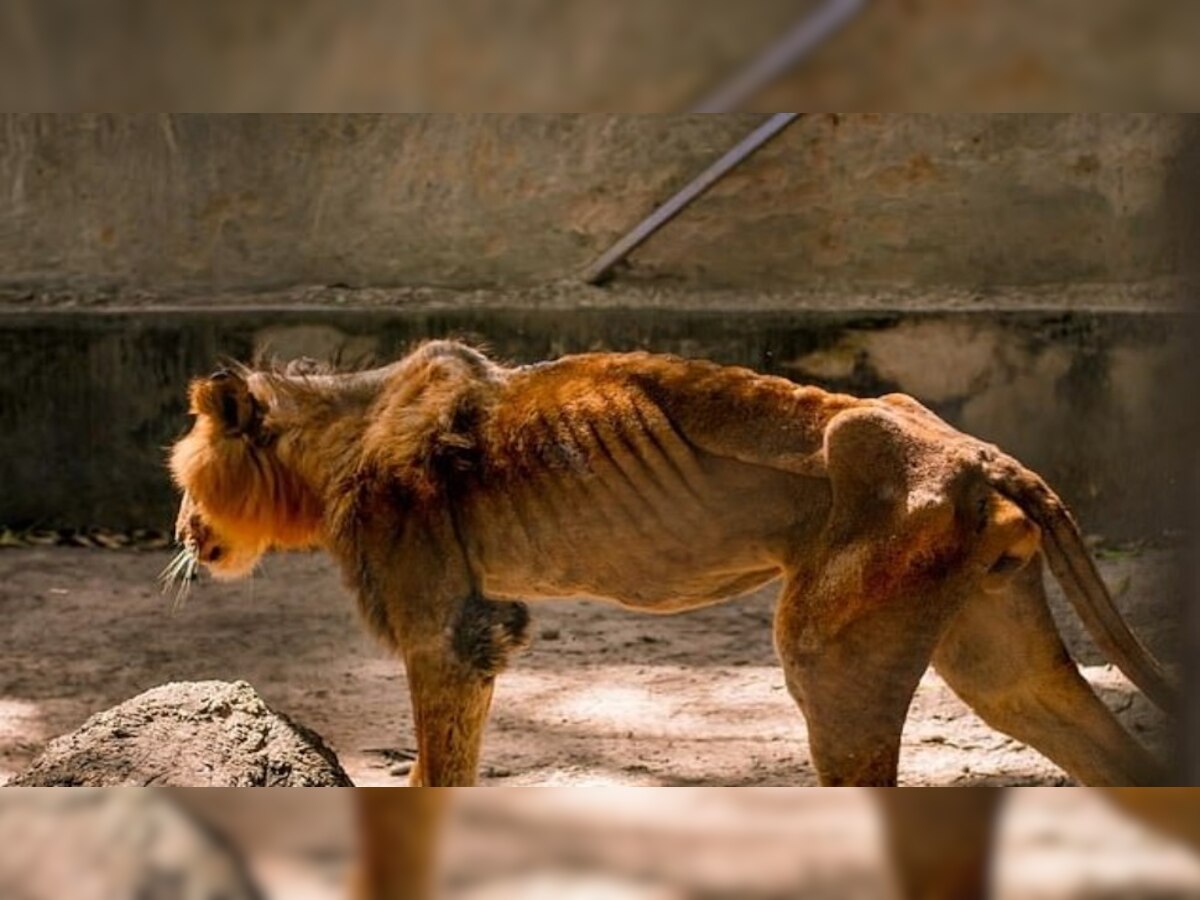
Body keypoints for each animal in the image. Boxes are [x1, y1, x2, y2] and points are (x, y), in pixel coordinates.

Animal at [167, 339, 1176, 787]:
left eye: (181, 479)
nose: (179, 529)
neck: (340, 429)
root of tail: (977, 451)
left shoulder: (448, 632)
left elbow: (434, 777)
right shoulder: (484, 630)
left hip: (827, 655)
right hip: (1000, 660)